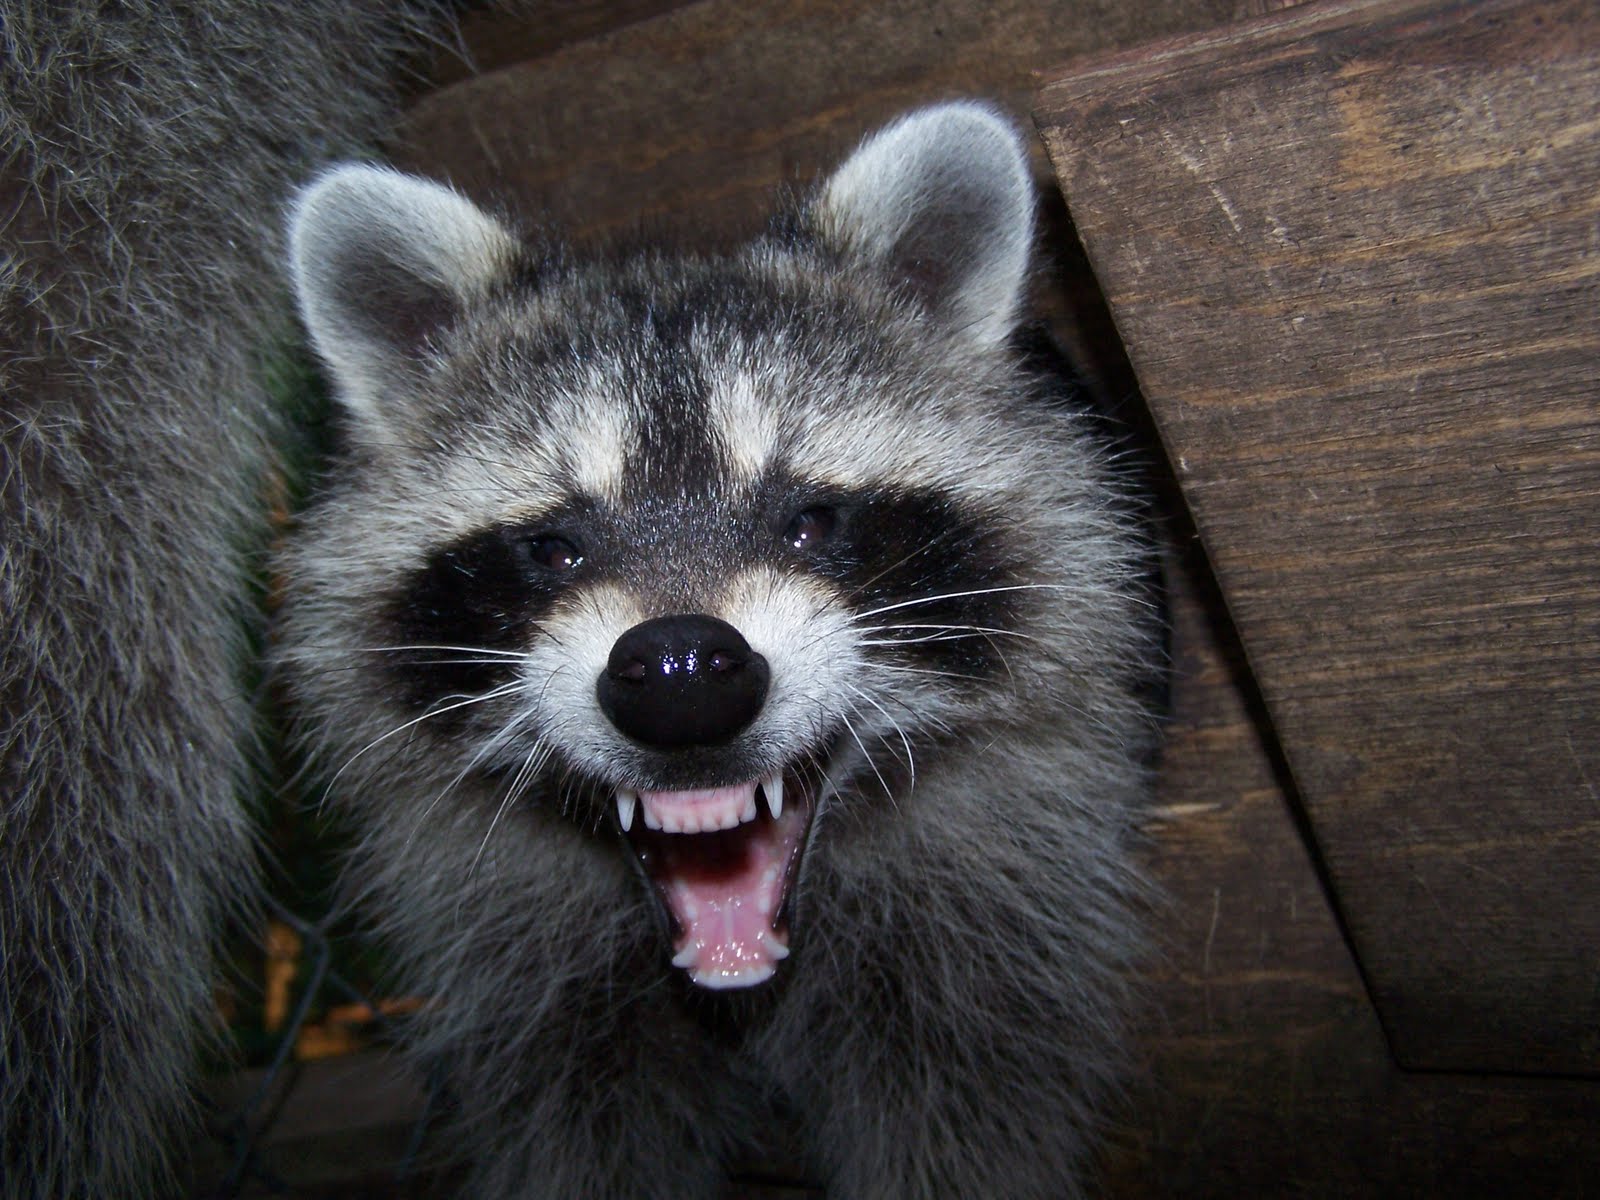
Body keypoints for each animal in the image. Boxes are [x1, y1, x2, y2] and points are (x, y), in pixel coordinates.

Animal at [279, 103, 1159, 1198]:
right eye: (552, 547)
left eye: (811, 521)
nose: (682, 672)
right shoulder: (523, 951)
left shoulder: (1000, 892)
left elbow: (965, 1100)